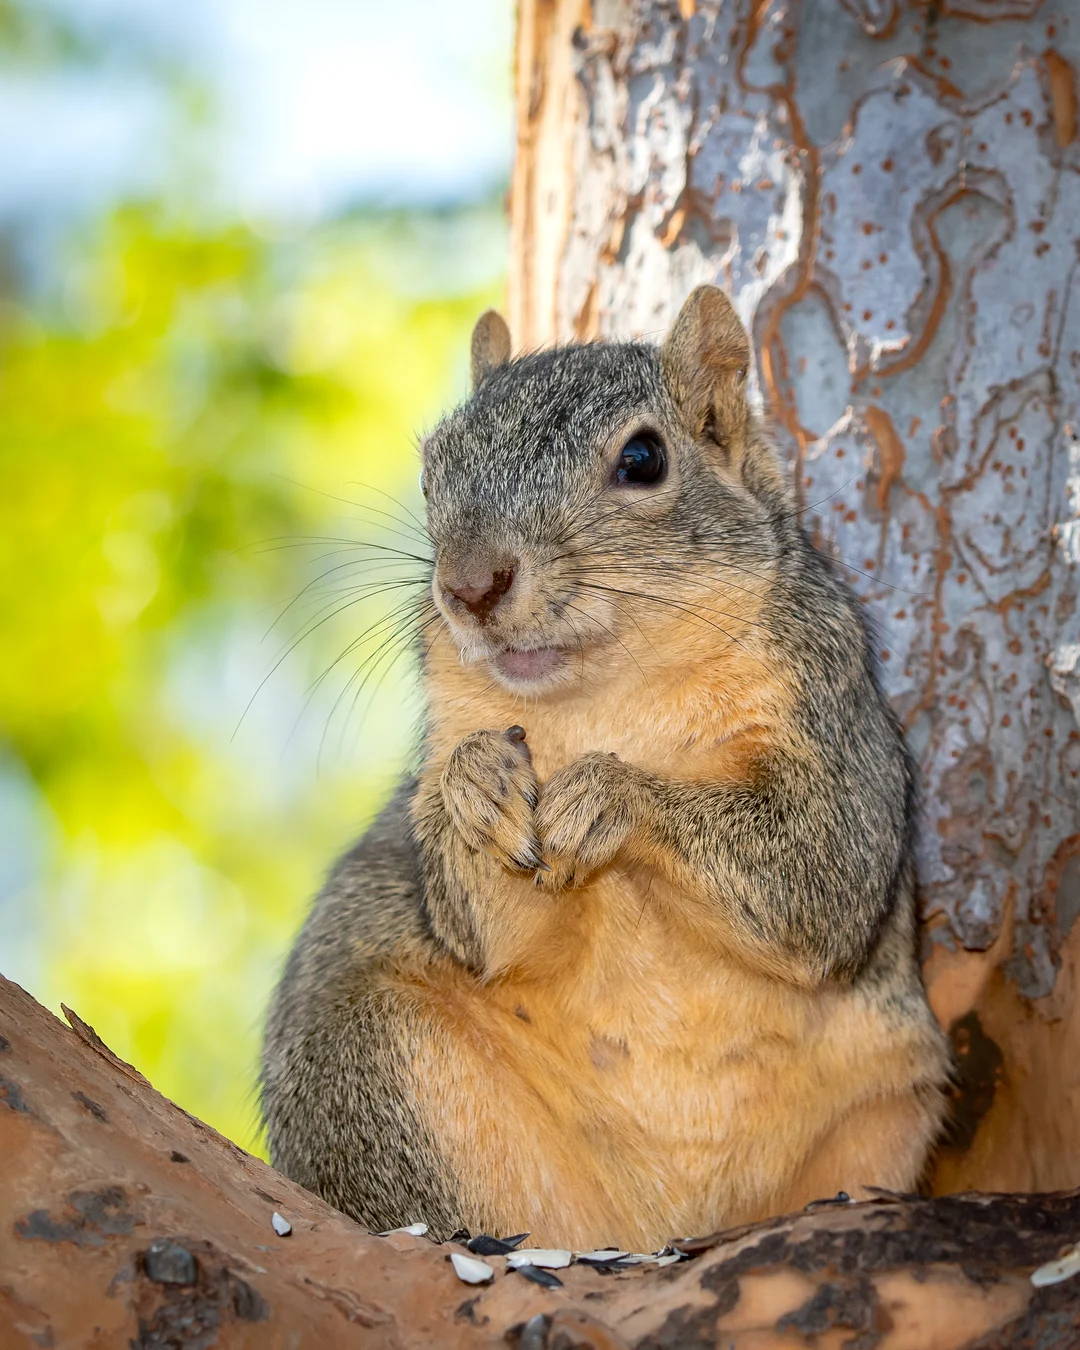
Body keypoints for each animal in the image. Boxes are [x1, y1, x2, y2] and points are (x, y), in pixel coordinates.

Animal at [261, 286, 950, 1252]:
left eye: (643, 459)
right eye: (433, 467)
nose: (469, 585)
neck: (609, 693)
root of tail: (660, 1230)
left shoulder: (839, 733)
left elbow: (821, 876)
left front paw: (609, 794)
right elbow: (495, 937)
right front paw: (475, 784)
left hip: (889, 1107)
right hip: (377, 1062)